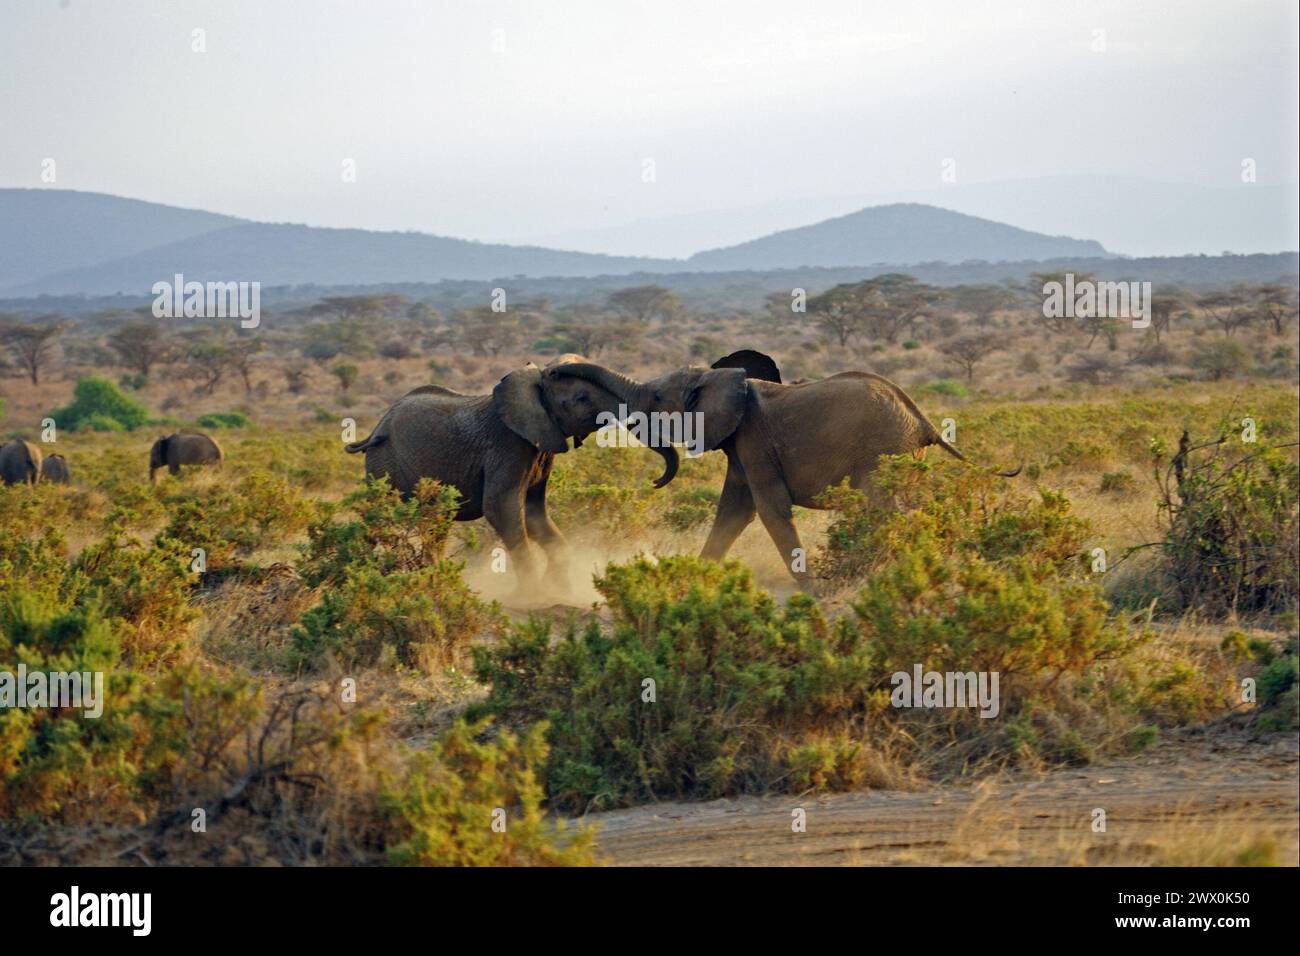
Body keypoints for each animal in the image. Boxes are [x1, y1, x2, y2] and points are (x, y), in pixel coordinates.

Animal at [343, 356, 678, 592]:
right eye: (582, 398)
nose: (656, 481)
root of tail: (379, 424)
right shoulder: (508, 446)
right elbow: (501, 509)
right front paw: (533, 595)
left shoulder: (539, 447)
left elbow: (534, 513)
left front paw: (560, 589)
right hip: (384, 465)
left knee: (435, 524)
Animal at [539, 350, 1017, 587]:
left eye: (657, 398)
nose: (550, 370)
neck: (723, 379)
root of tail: (923, 421)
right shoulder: (740, 447)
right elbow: (733, 513)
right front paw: (694, 580)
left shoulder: (754, 438)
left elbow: (769, 511)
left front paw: (812, 595)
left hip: (883, 453)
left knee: (888, 510)